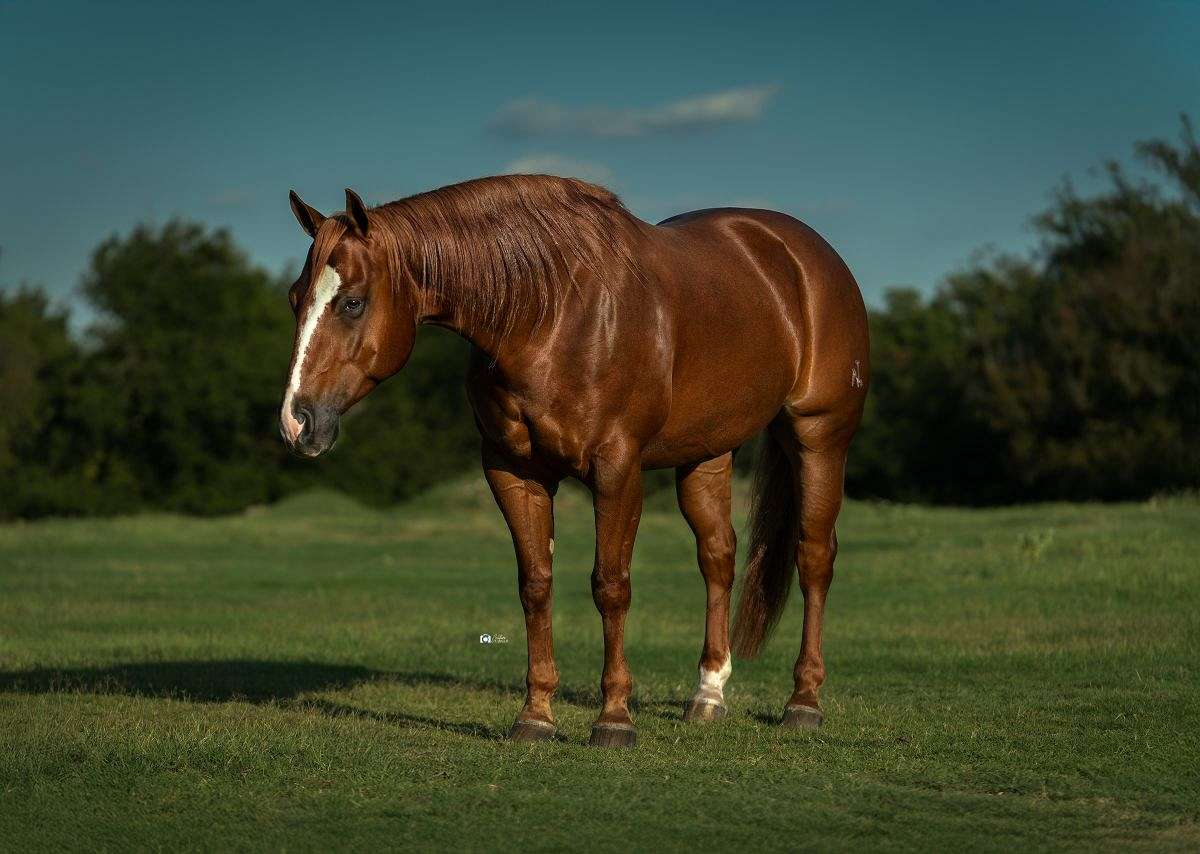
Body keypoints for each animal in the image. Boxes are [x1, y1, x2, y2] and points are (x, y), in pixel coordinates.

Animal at [279, 175, 869, 748]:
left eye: (352, 303)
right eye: (294, 298)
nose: (296, 421)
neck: (551, 314)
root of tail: (807, 256)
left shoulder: (617, 471)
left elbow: (611, 586)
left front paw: (614, 720)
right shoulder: (514, 473)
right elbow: (536, 584)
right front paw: (536, 716)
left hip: (818, 437)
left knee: (815, 557)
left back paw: (803, 703)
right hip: (707, 452)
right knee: (718, 556)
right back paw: (708, 695)